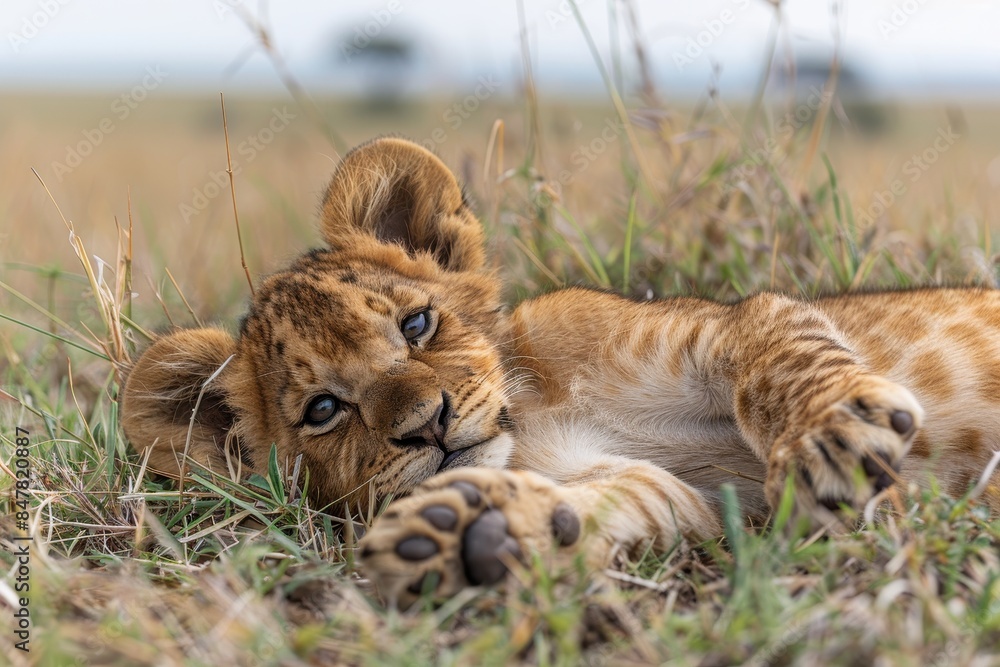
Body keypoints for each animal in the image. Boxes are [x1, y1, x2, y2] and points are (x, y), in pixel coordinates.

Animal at [122, 137, 1000, 606]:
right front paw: (461, 537)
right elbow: (614, 499)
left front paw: (831, 438)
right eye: (324, 409)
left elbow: (778, 356)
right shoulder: (718, 512)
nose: (429, 424)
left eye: (416, 324)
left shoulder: (714, 327)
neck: (532, 413)